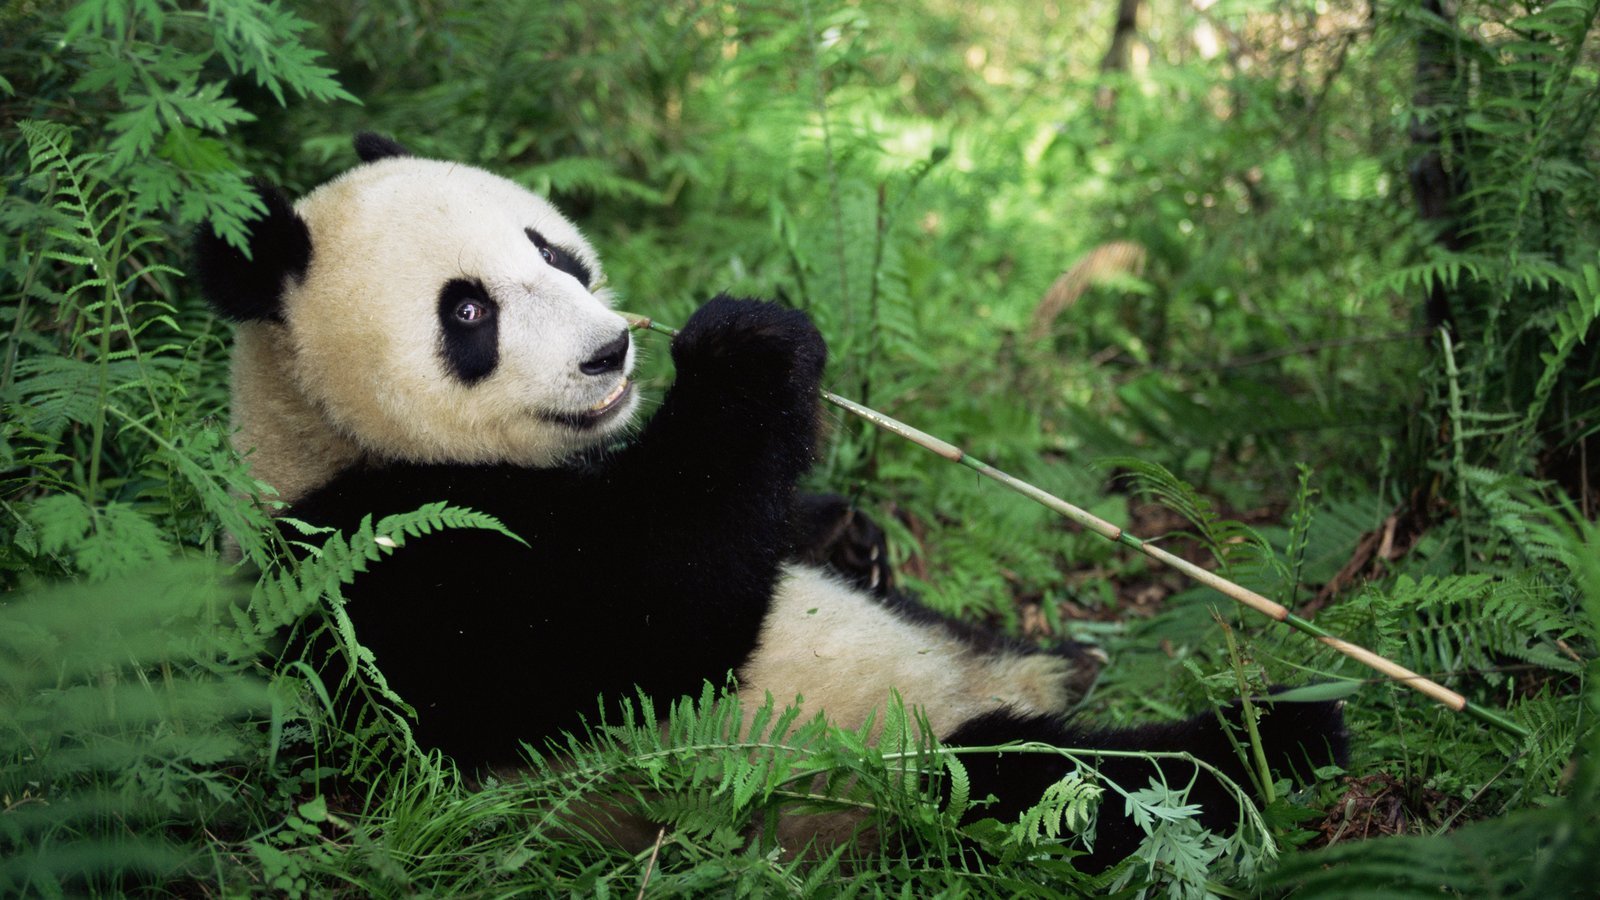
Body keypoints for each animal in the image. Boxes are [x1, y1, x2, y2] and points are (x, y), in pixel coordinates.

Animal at [196, 134, 1346, 869]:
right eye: (467, 311)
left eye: (554, 252)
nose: (610, 352)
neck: (320, 433)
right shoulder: (378, 568)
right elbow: (643, 621)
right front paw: (748, 351)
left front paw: (846, 528)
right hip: (878, 777)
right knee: (1063, 786)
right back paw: (1278, 739)